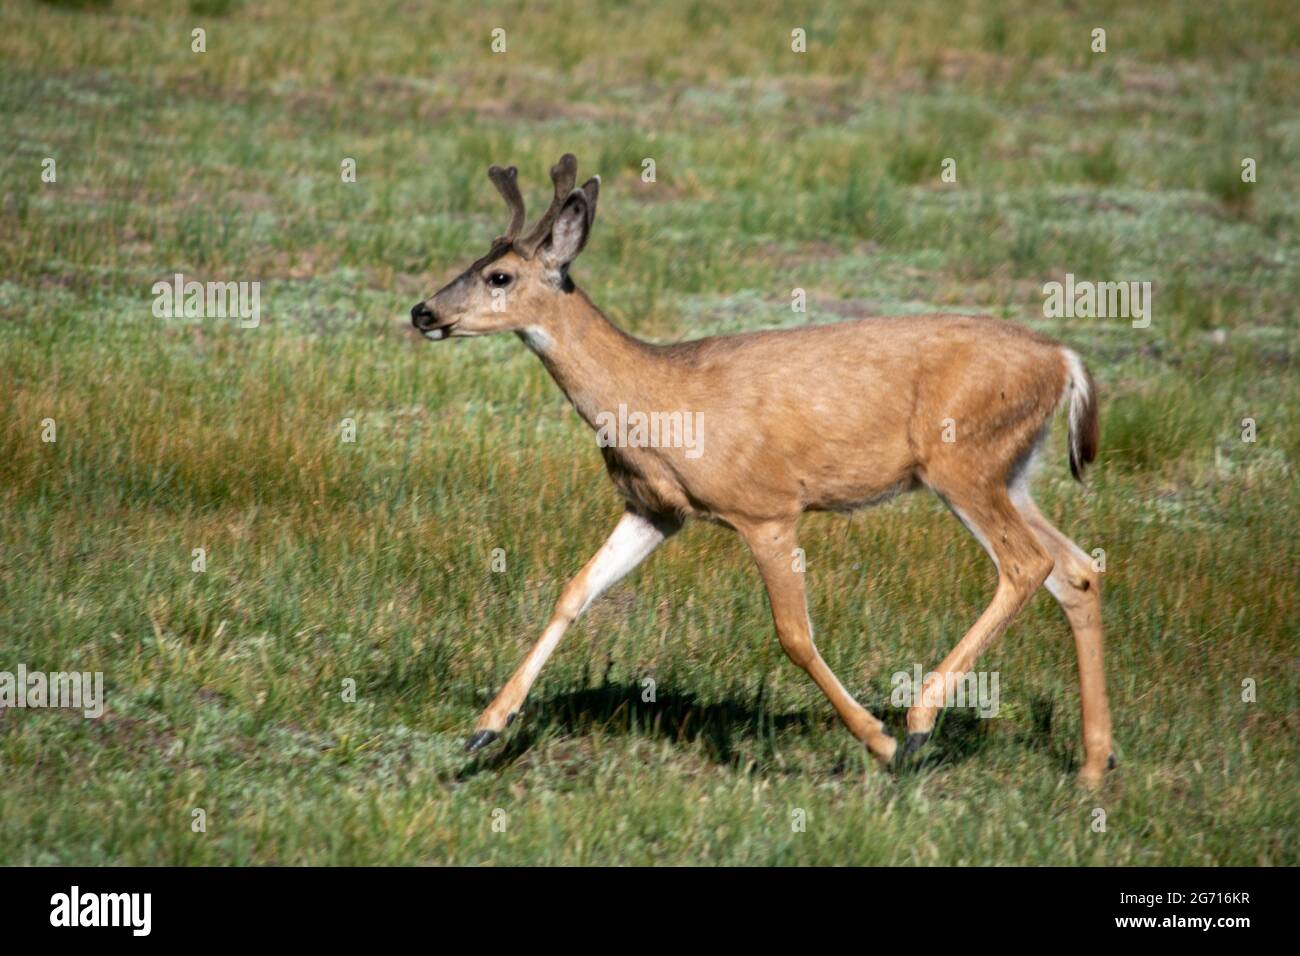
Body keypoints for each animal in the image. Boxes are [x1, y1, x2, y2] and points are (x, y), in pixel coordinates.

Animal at [410, 154, 1116, 787]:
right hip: (1012, 471)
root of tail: (1064, 358)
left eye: (499, 275)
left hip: (962, 460)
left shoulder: (766, 507)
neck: (656, 401)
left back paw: (919, 724)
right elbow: (575, 591)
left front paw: (880, 741)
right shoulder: (656, 509)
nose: (422, 312)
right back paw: (1092, 765)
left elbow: (794, 635)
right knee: (1077, 570)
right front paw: (486, 727)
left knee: (1027, 564)